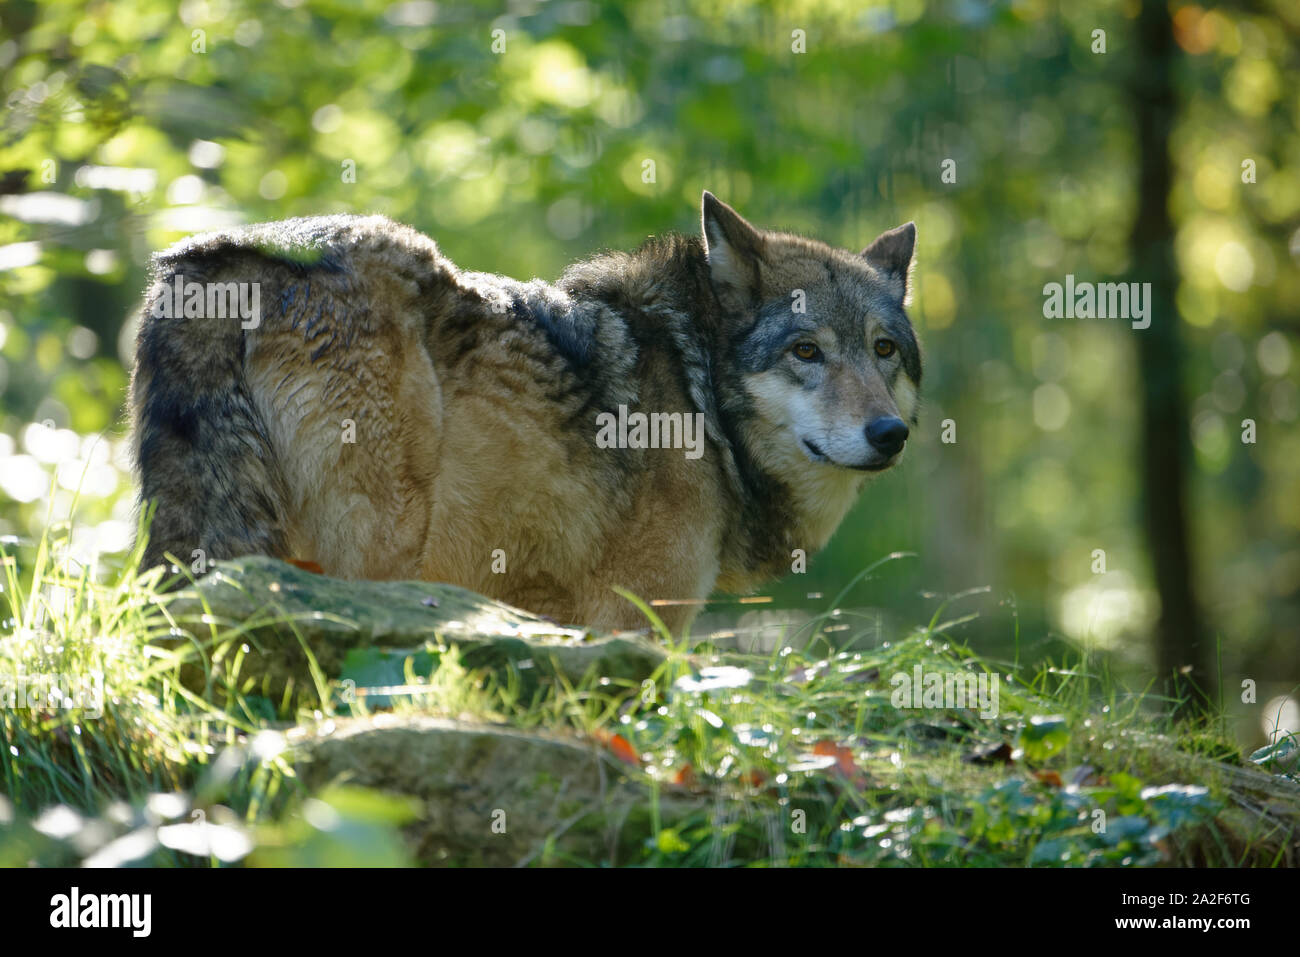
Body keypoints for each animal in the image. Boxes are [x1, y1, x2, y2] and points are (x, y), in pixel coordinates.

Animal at [130, 192, 920, 633]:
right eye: (807, 350)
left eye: (883, 349)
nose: (890, 433)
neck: (697, 389)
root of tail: (228, 256)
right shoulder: (634, 618)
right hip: (378, 547)